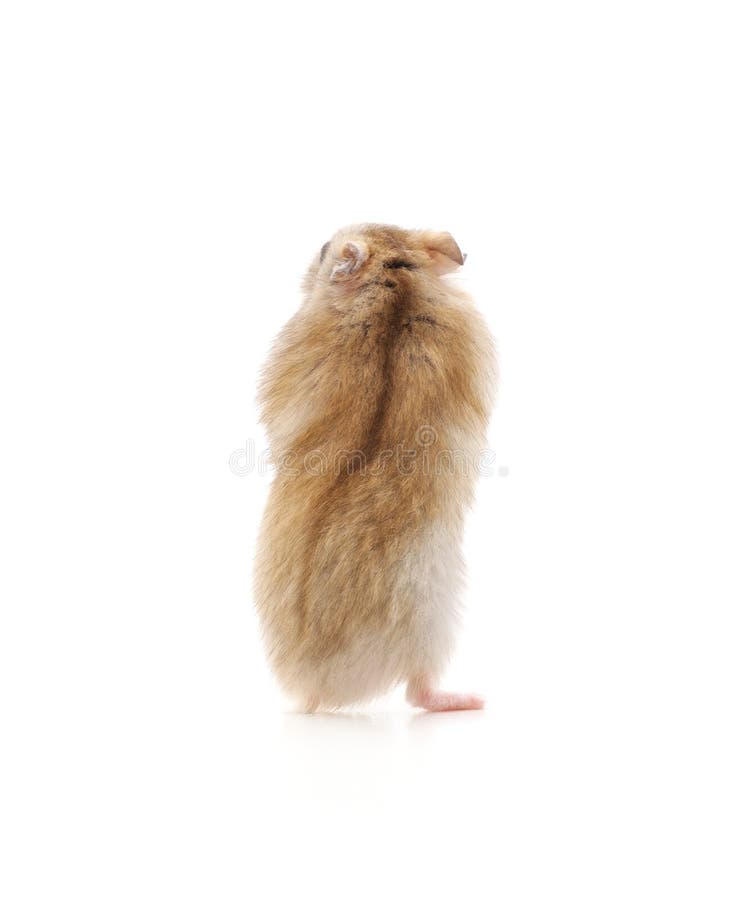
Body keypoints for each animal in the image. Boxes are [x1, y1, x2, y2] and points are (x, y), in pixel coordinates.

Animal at [254, 223, 496, 712]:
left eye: (324, 249)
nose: (318, 251)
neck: (394, 282)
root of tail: (323, 682)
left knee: (418, 692)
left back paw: (471, 700)